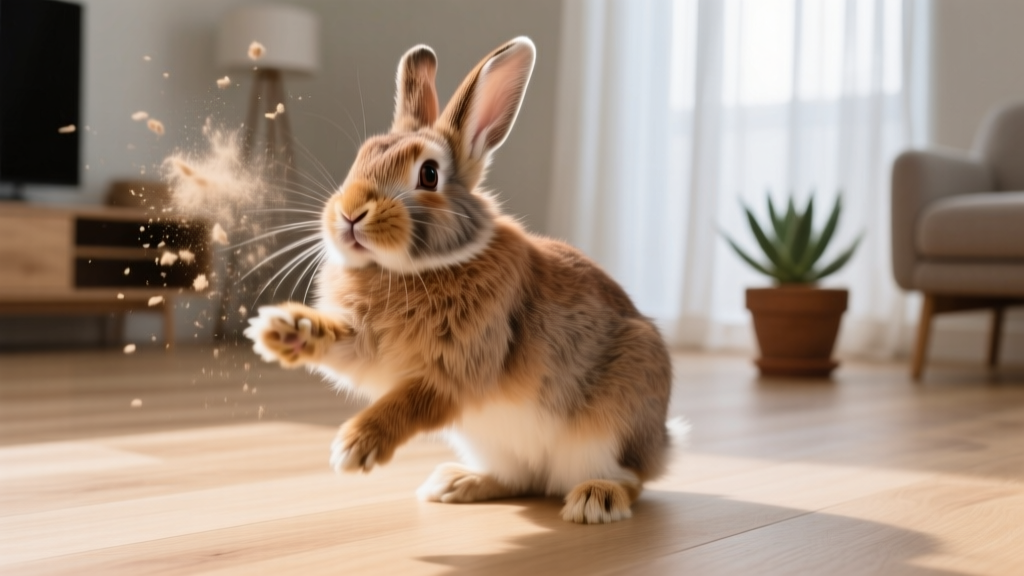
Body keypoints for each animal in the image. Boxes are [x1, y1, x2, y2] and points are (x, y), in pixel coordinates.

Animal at [244, 37, 675, 524]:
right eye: (361, 158)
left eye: (429, 174)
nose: (350, 213)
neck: (413, 270)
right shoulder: (366, 346)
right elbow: (340, 343)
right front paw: (281, 331)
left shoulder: (462, 368)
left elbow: (413, 401)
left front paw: (354, 447)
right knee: (520, 479)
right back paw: (457, 482)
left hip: (615, 419)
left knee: (631, 479)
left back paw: (594, 500)